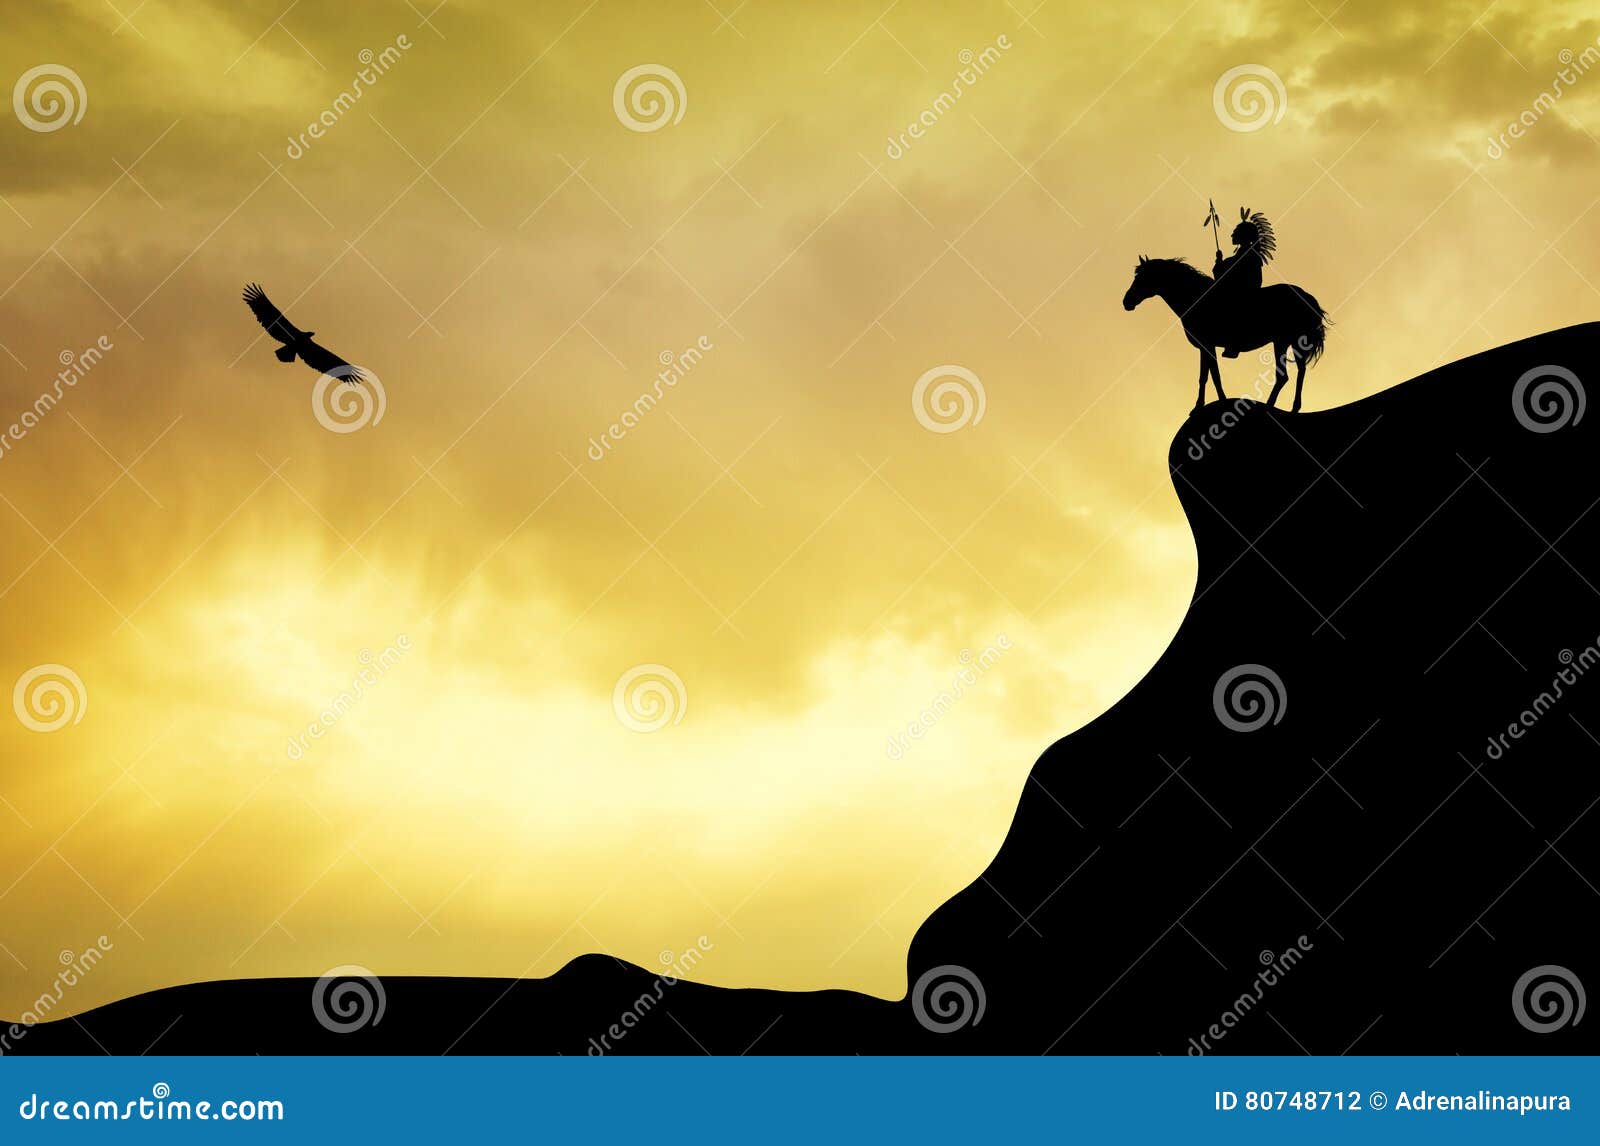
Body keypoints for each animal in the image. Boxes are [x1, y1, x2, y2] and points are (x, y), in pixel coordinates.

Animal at [1121, 256, 1329, 414]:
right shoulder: (1204, 347)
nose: (1126, 301)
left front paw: (1213, 403)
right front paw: (1204, 404)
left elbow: (1212, 375)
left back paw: (1270, 406)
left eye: (1143, 277)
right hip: (1293, 342)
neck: (1196, 298)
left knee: (1283, 376)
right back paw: (1294, 408)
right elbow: (1207, 376)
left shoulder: (1207, 345)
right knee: (1300, 371)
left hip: (1282, 341)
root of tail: (1307, 297)